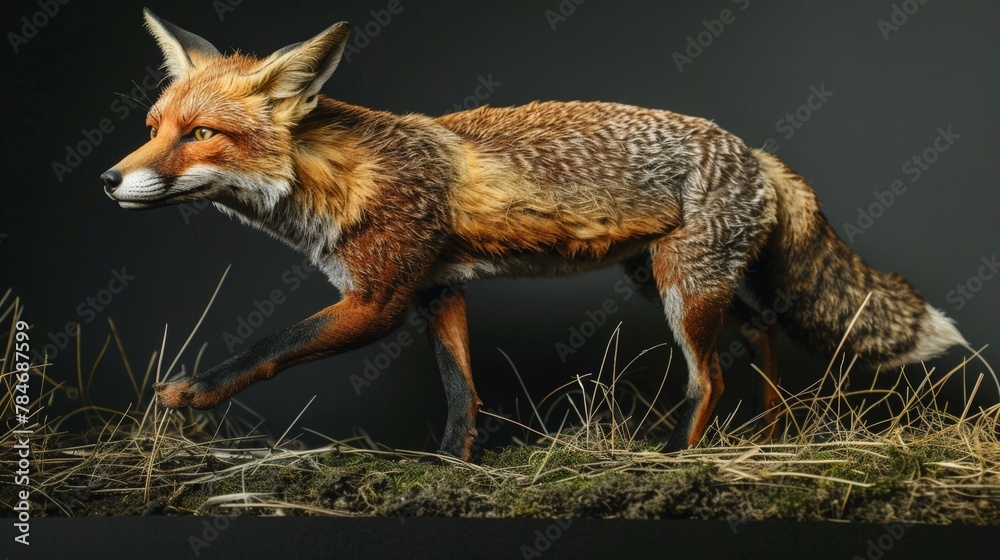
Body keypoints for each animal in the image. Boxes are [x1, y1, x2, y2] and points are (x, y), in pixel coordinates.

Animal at [102, 10, 967, 460]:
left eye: (201, 135)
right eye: (151, 129)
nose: (107, 181)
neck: (338, 174)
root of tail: (754, 150)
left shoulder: (378, 300)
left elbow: (271, 344)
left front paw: (191, 392)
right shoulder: (437, 293)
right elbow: (462, 392)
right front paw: (451, 468)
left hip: (684, 293)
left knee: (711, 376)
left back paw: (679, 459)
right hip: (670, 279)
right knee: (761, 331)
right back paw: (768, 438)